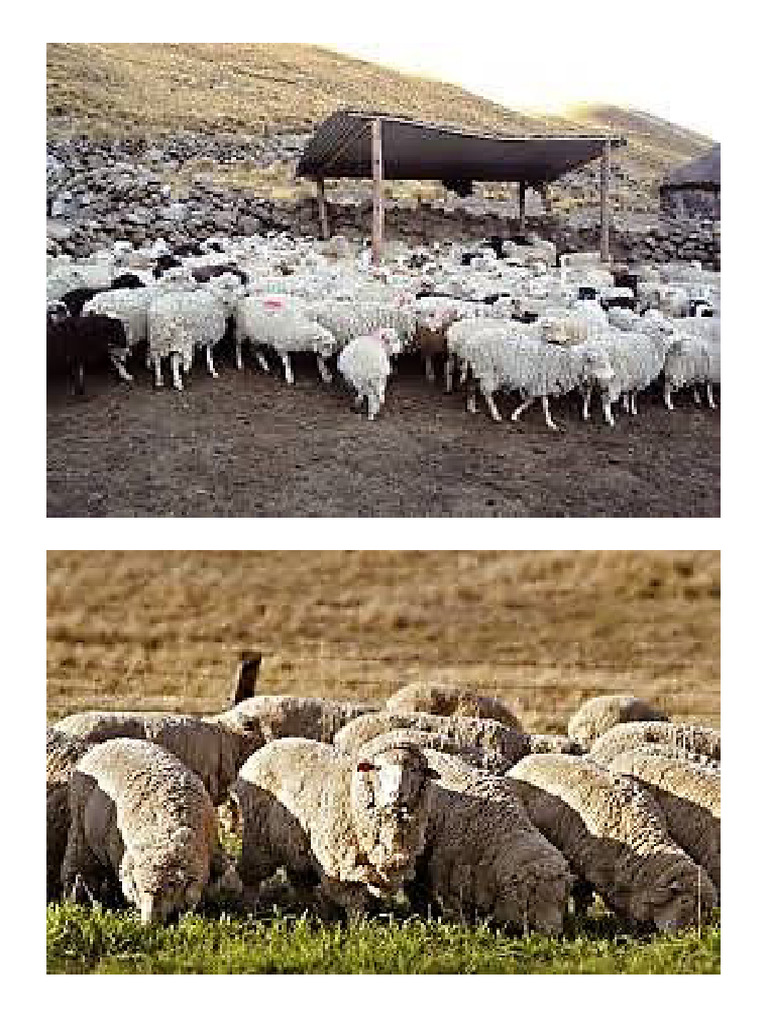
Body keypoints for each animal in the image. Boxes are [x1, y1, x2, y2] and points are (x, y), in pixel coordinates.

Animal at [61, 738, 237, 922]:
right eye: (136, 886)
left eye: (171, 885)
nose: (149, 923)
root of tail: (109, 742)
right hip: (80, 826)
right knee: (77, 863)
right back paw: (75, 898)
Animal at [234, 737, 437, 916]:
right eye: (378, 768)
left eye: (414, 769)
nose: (396, 794)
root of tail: (268, 746)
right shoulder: (340, 859)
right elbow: (354, 901)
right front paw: (360, 929)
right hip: (258, 836)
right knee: (251, 877)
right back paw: (249, 911)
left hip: (293, 843)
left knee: (300, 881)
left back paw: (313, 912)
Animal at [369, 743, 572, 934]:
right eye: (532, 896)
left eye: (563, 900)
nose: (554, 933)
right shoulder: (449, 876)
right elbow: (456, 908)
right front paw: (462, 928)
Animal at [509, 754, 717, 931]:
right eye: (685, 901)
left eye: (704, 910)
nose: (689, 935)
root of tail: (526, 759)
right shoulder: (585, 866)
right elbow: (585, 897)